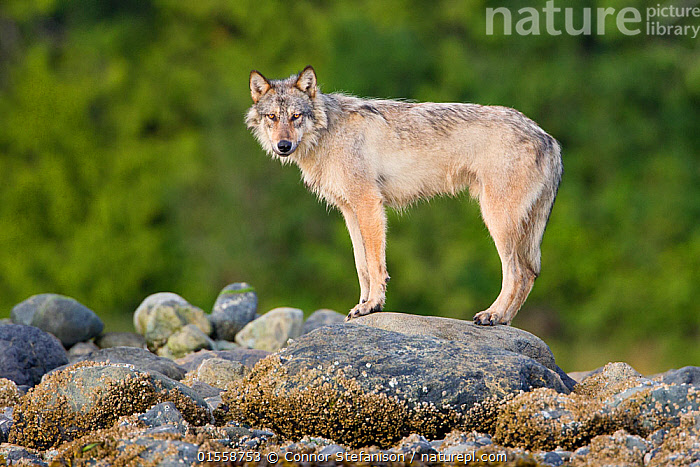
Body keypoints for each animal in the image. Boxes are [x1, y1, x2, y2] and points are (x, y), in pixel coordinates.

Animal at [246, 66, 562, 325]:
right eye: (272, 117)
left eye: (295, 116)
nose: (283, 146)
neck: (328, 133)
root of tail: (549, 138)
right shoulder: (350, 211)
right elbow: (361, 265)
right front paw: (361, 305)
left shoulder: (369, 204)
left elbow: (375, 264)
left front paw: (373, 305)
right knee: (529, 274)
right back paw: (504, 319)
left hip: (497, 220)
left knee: (517, 273)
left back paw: (492, 315)